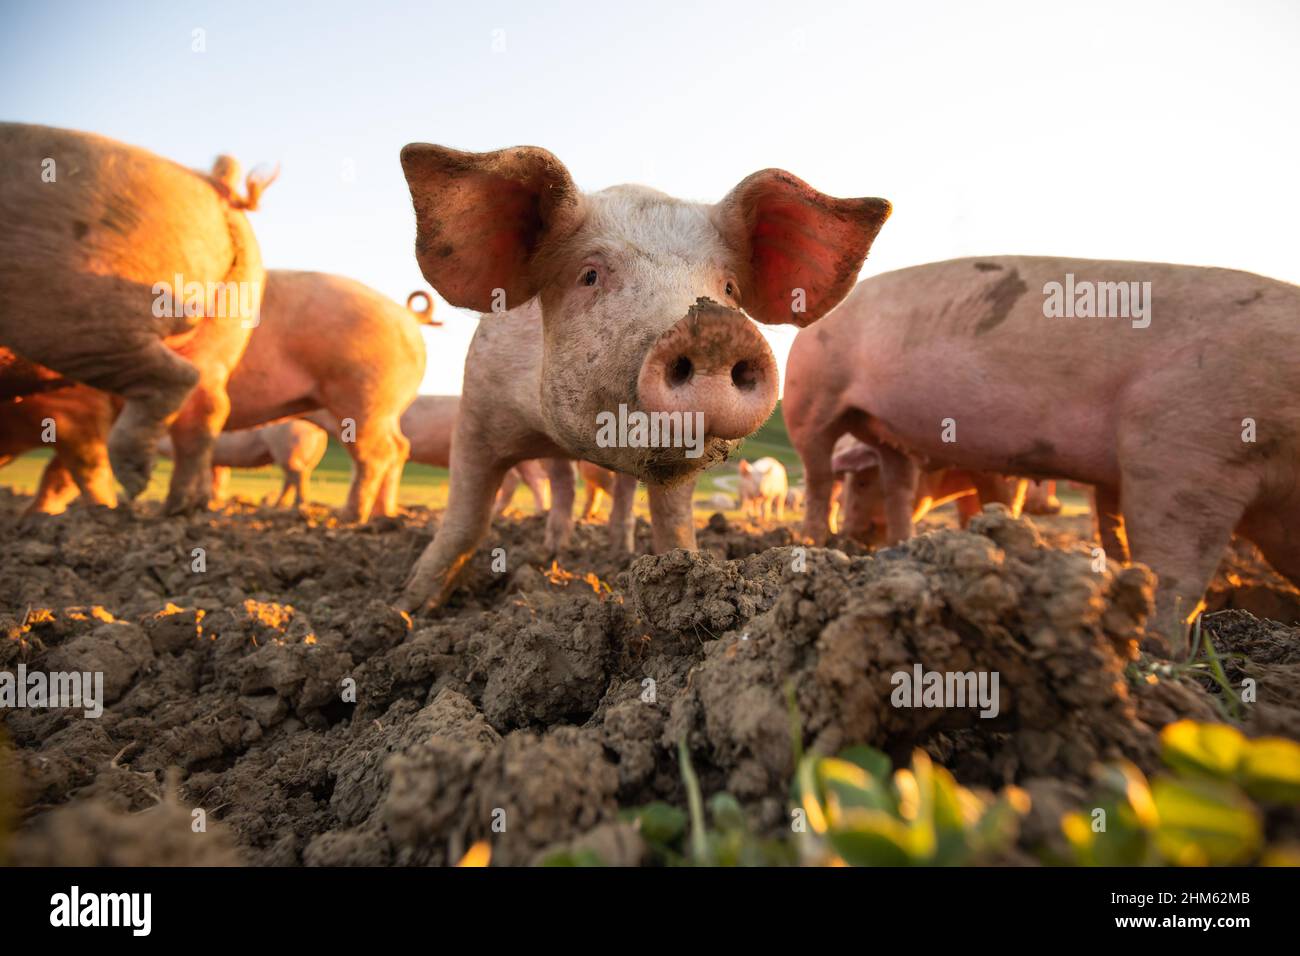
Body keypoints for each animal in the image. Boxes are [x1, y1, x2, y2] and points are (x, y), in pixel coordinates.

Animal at [0, 124, 273, 512]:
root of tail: (213, 185)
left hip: (71, 304)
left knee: (177, 378)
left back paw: (135, 485)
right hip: (233, 314)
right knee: (208, 402)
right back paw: (181, 507)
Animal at [158, 419, 328, 508]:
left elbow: (206, 477)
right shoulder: (218, 460)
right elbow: (220, 479)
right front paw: (218, 500)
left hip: (287, 445)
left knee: (297, 475)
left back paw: (298, 505)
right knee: (296, 476)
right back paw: (279, 505)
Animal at [222, 271, 431, 523]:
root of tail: (407, 315)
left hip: (364, 398)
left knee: (375, 455)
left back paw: (347, 516)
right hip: (384, 410)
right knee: (399, 447)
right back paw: (383, 515)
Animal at [396, 143, 890, 610]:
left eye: (729, 287)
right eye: (589, 275)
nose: (716, 329)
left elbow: (672, 519)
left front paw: (690, 576)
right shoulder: (477, 408)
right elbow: (465, 518)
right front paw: (411, 607)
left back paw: (616, 552)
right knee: (563, 487)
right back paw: (548, 555)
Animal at [784, 256, 1300, 648]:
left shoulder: (1125, 471)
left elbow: (1113, 528)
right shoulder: (1181, 441)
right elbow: (1174, 563)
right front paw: (1156, 649)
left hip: (883, 434)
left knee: (896, 484)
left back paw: (893, 546)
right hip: (808, 396)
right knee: (818, 475)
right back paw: (815, 542)